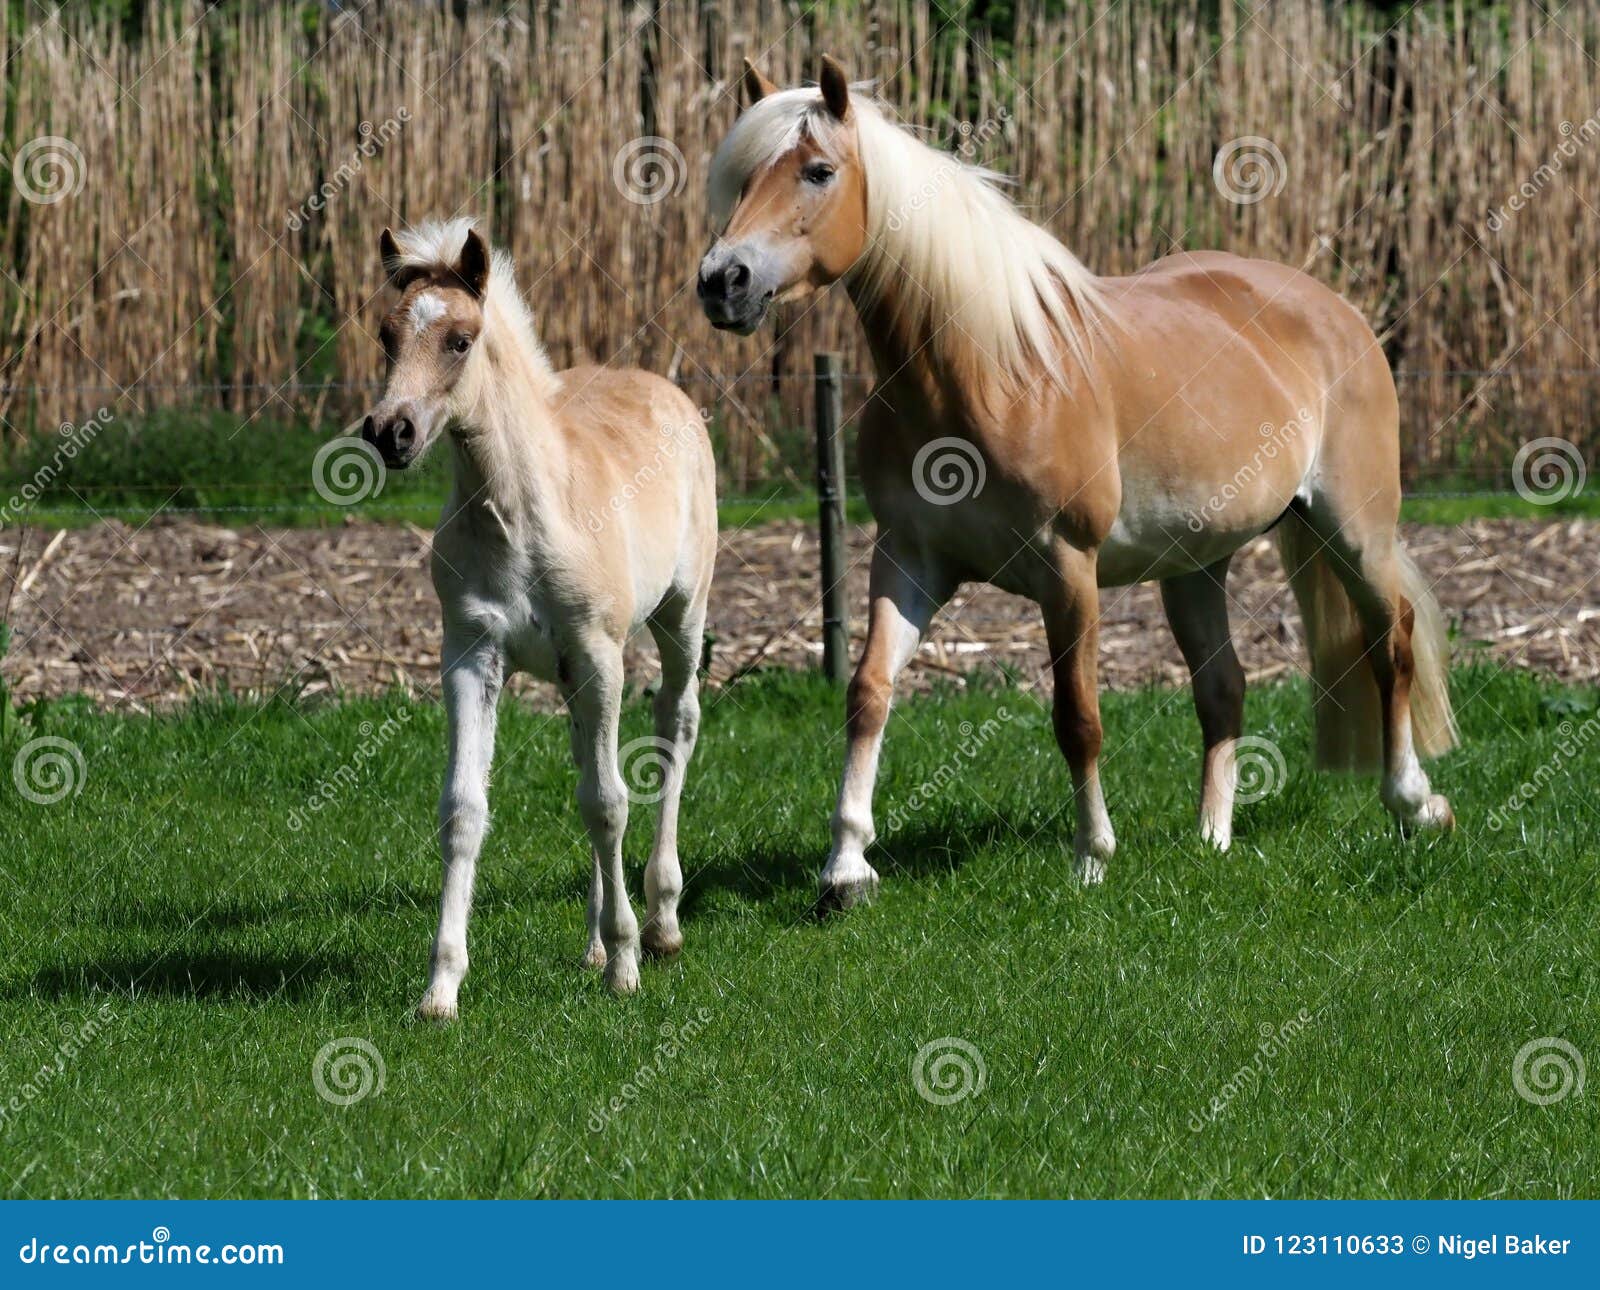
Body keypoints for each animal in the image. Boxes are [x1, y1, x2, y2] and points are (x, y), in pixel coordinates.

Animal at [360, 218, 717, 1006]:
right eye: (386, 334)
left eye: (460, 339)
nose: (390, 433)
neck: (516, 515)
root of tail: (663, 386)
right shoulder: (471, 656)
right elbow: (465, 810)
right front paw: (441, 987)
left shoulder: (598, 654)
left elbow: (609, 802)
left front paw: (625, 966)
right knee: (588, 758)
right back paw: (592, 940)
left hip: (681, 615)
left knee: (675, 725)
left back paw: (661, 922)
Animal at [698, 58, 1456, 908]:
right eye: (741, 178)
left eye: (819, 171)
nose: (722, 281)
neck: (987, 373)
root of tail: (1336, 311)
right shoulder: (907, 561)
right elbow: (868, 693)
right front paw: (846, 867)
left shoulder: (1069, 571)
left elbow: (1077, 717)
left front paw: (1092, 856)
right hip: (1197, 567)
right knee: (1223, 687)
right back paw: (1212, 840)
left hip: (1355, 531)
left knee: (1391, 641)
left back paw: (1413, 805)